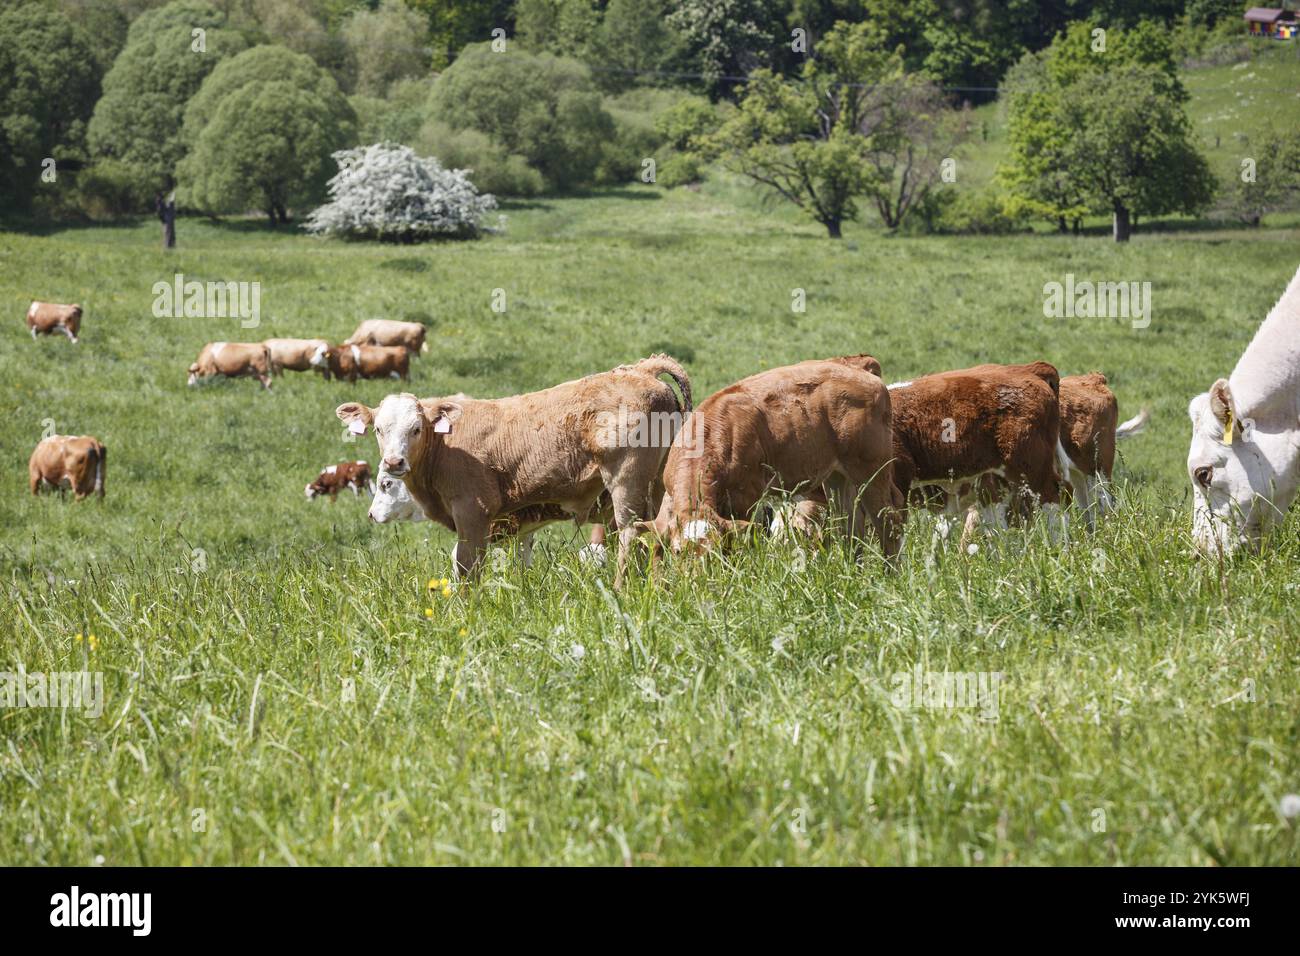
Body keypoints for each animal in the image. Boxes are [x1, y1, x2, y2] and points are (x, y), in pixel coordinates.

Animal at [336, 354, 691, 583]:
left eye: (416, 428)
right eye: (379, 429)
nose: (394, 462)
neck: (445, 445)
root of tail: (642, 369)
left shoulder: (473, 513)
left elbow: (466, 568)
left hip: (626, 483)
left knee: (630, 534)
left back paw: (620, 589)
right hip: (656, 486)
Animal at [634, 358, 902, 560]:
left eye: (713, 553)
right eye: (679, 552)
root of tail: (860, 371)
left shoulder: (746, 499)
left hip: (871, 471)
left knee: (888, 523)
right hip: (837, 477)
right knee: (850, 525)